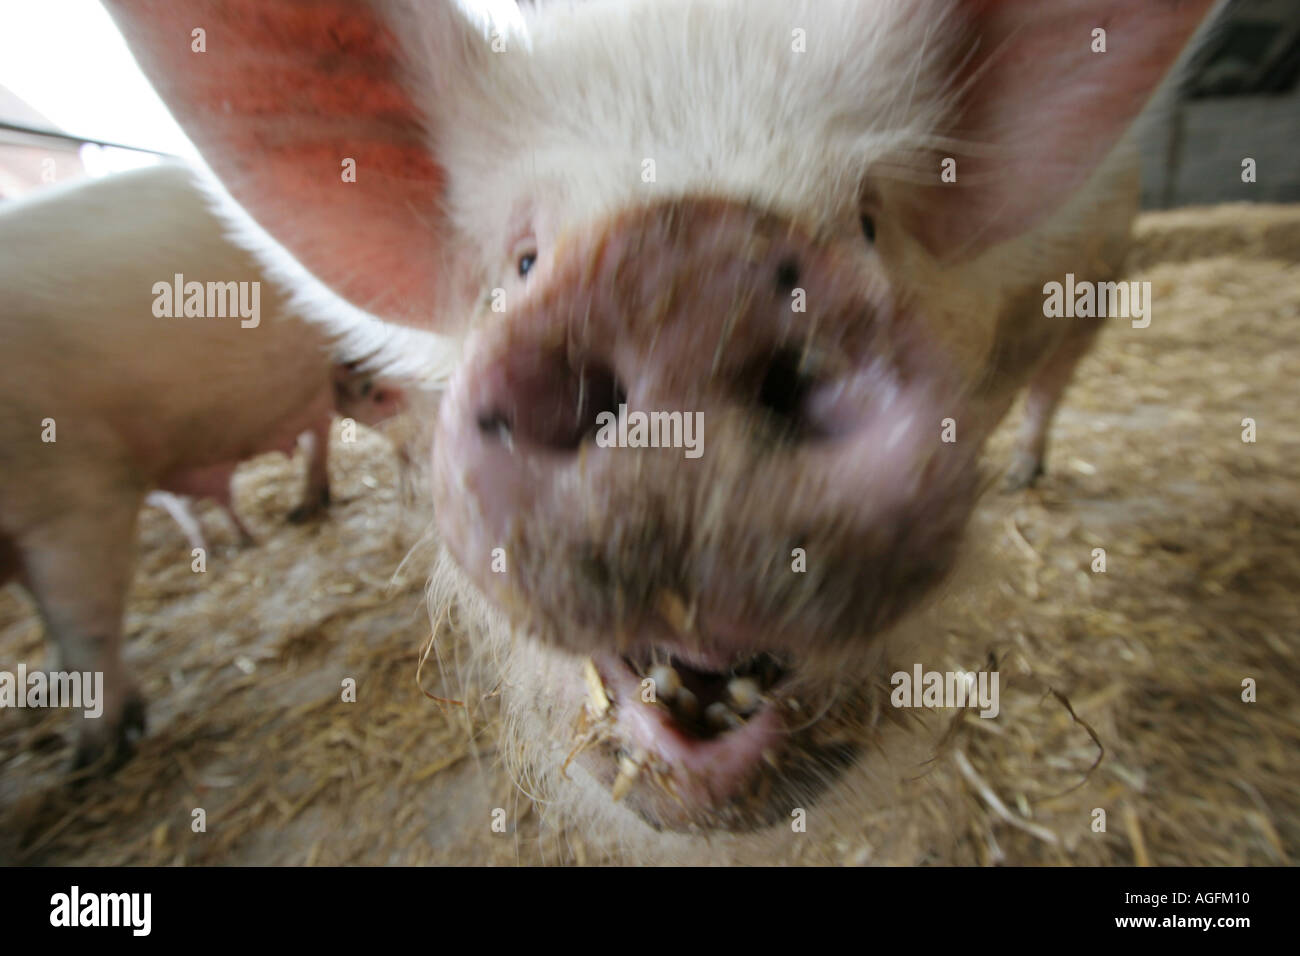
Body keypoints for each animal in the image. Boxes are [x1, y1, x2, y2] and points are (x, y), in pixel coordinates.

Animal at [0, 162, 427, 768]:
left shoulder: (75, 487)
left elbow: (83, 622)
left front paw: (94, 757)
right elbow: (47, 617)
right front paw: (45, 692)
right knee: (329, 431)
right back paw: (307, 509)